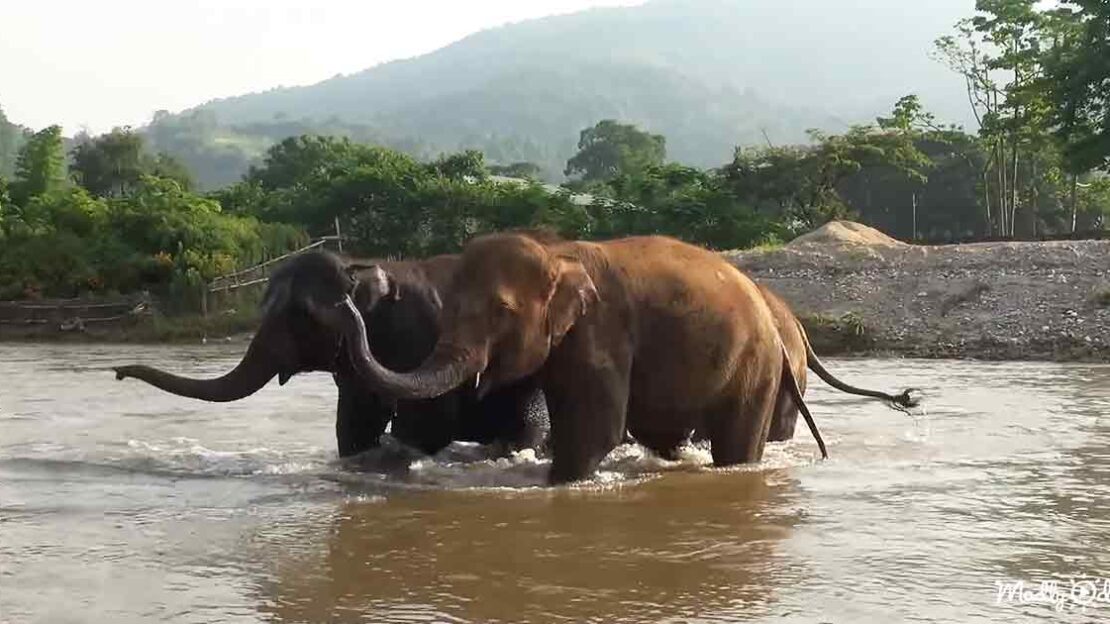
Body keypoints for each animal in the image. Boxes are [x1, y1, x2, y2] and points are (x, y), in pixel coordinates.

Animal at [112, 250, 548, 458]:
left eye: (300, 315)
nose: (116, 372)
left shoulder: (422, 339)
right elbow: (354, 424)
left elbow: (426, 426)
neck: (365, 264)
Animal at [334, 232, 826, 485]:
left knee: (735, 444)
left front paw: (559, 485)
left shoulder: (603, 331)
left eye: (501, 312)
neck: (556, 253)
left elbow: (596, 430)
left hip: (756, 366)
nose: (346, 299)